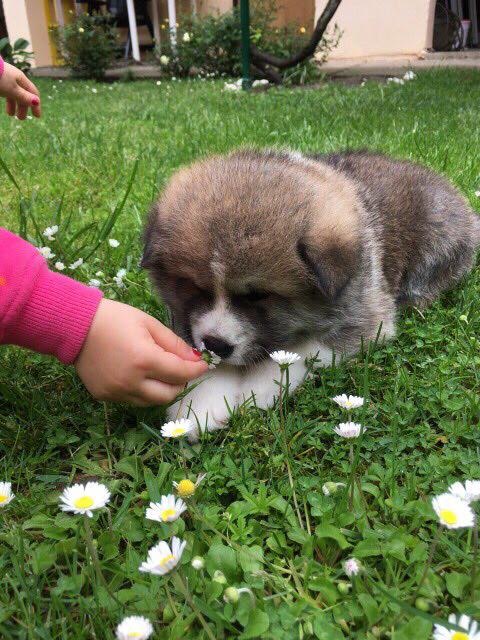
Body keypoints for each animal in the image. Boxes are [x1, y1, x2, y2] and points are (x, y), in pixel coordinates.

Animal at [141, 150, 478, 440]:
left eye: (258, 295)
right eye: (194, 287)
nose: (215, 344)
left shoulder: (366, 318)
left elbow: (299, 351)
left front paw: (254, 391)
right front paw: (198, 405)